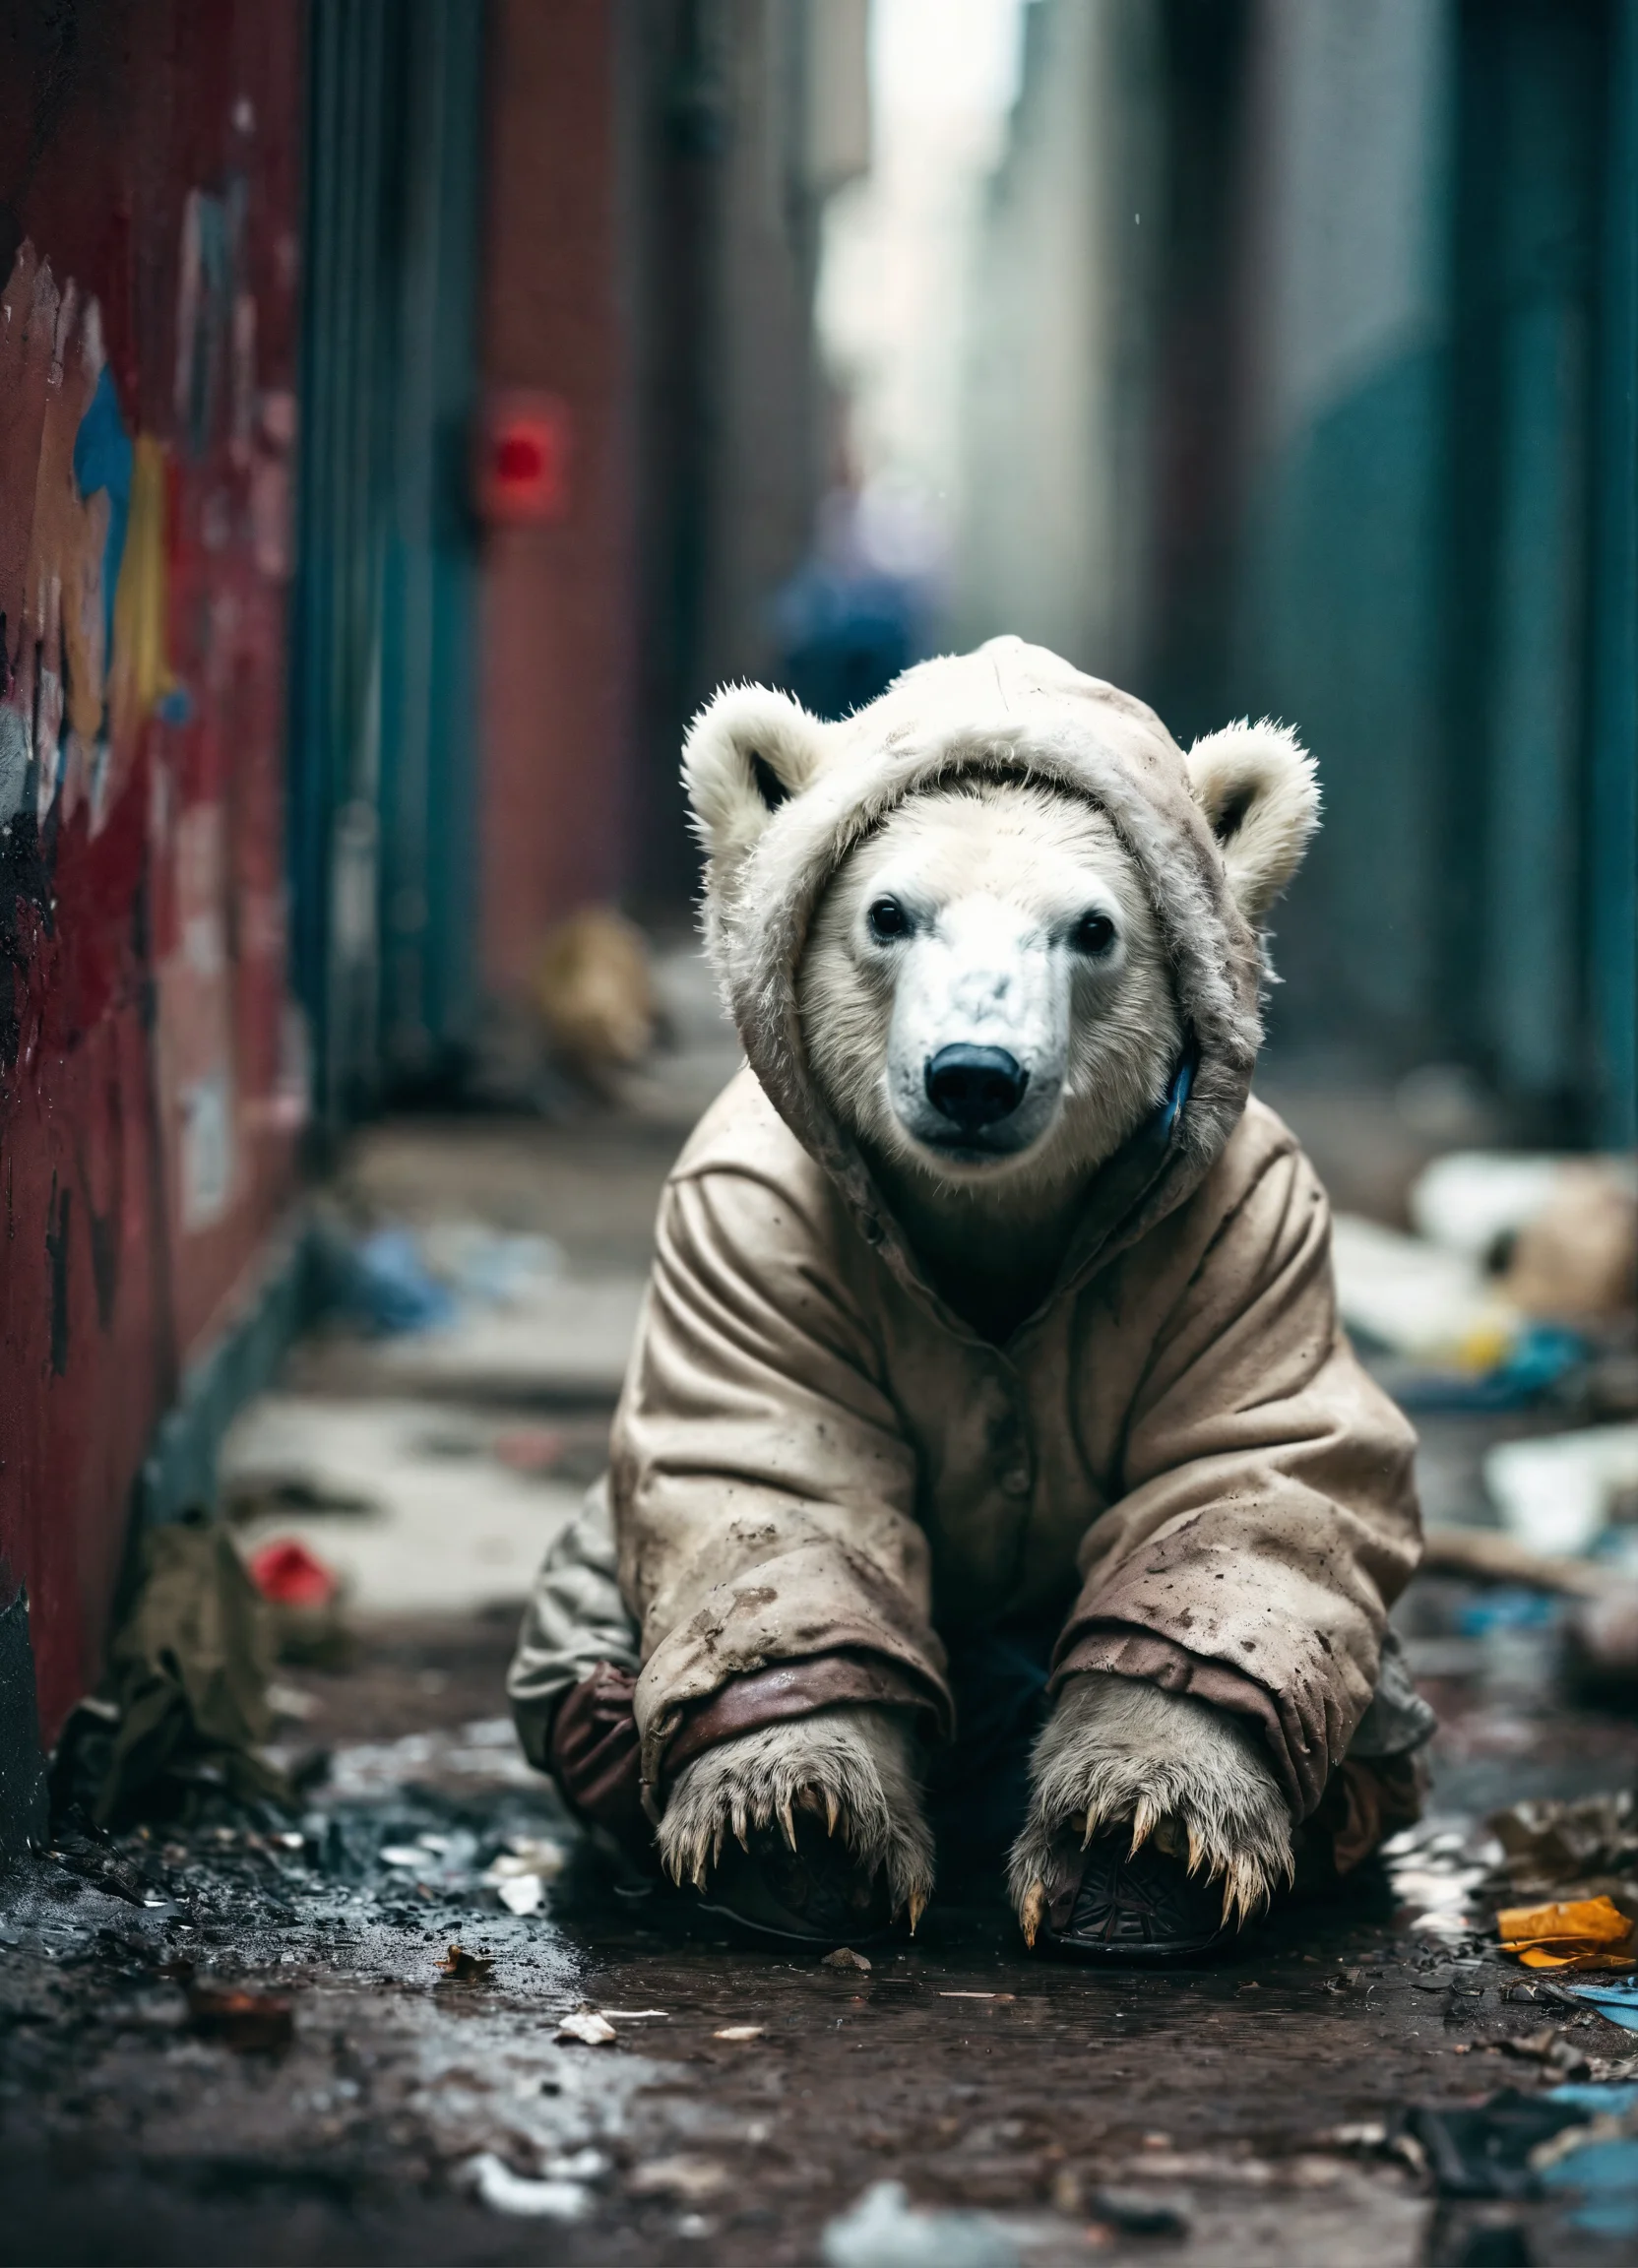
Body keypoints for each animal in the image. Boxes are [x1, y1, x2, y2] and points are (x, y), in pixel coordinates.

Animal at [510, 636, 1432, 1959]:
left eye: (1093, 929)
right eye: (886, 913)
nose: (974, 1078)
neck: (991, 1231)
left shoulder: (1243, 1233)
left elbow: (1244, 1489)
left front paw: (1140, 1841)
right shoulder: (753, 1224)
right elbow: (776, 1484)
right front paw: (787, 1823)